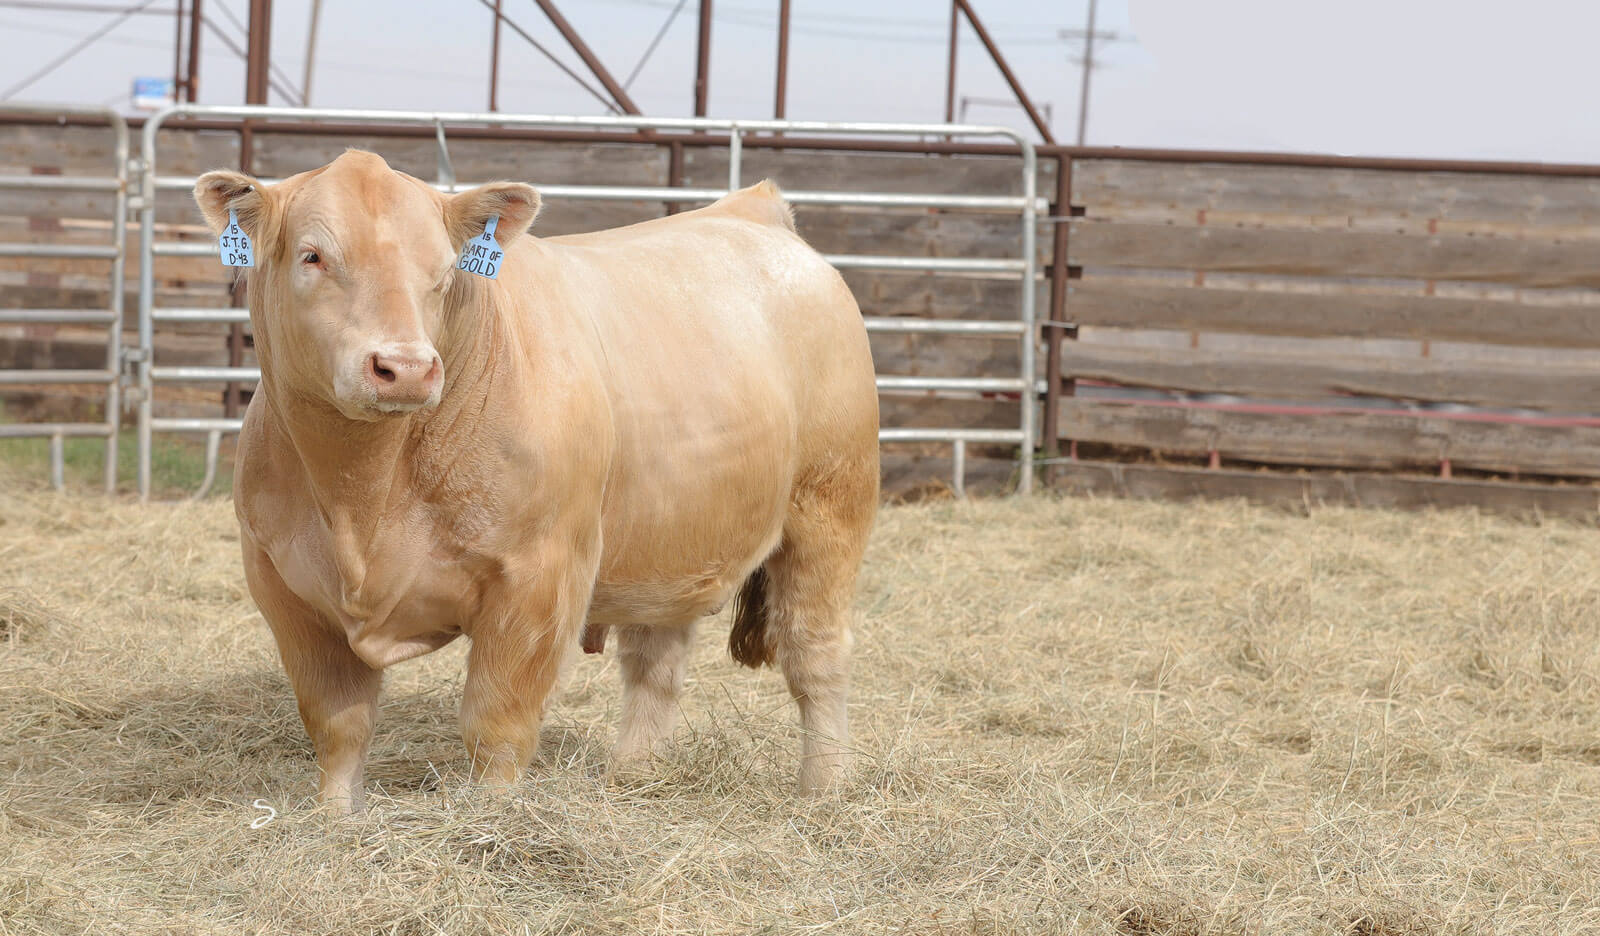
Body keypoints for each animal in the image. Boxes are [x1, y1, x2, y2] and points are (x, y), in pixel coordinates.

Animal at [192, 150, 879, 813]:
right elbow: (338, 724)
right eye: (313, 255)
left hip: (830, 509)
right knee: (655, 661)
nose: (405, 368)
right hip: (673, 537)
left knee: (816, 654)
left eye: (445, 268)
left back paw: (823, 791)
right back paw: (632, 778)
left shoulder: (539, 576)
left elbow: (496, 722)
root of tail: (753, 211)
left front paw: (494, 822)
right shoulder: (282, 587)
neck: (361, 500)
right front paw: (335, 818)